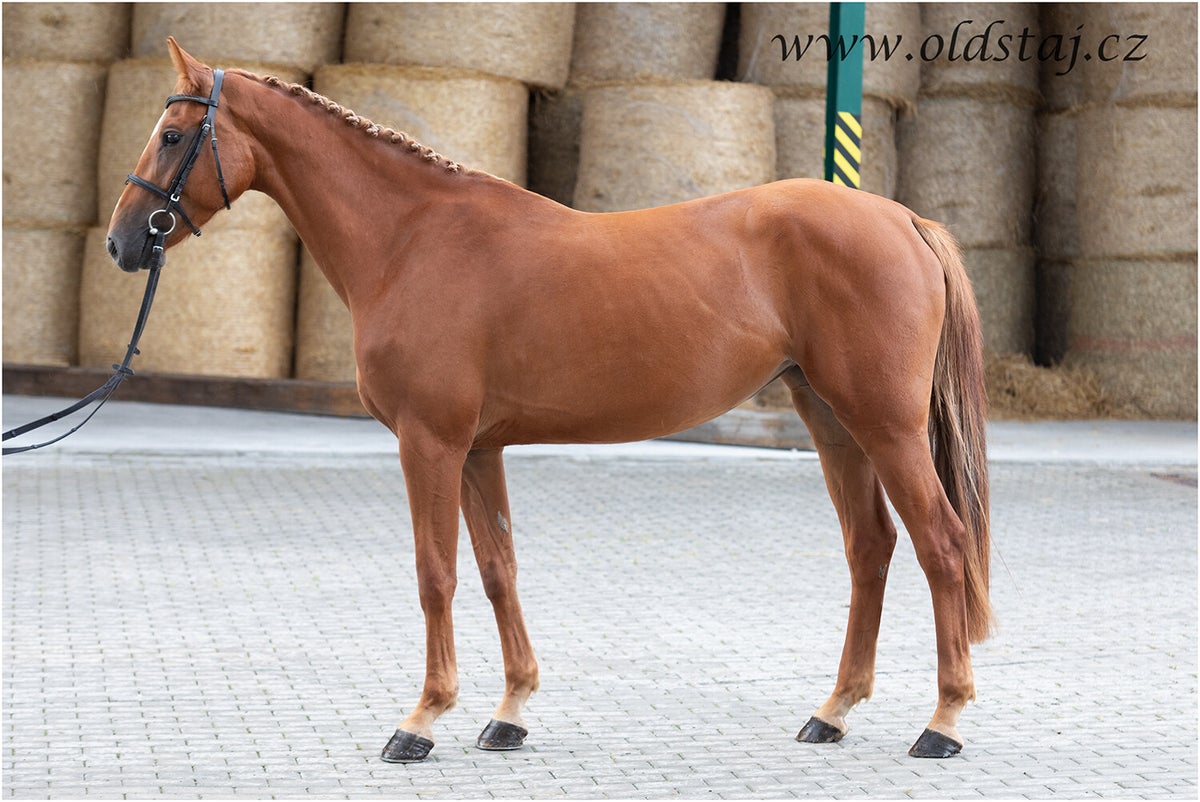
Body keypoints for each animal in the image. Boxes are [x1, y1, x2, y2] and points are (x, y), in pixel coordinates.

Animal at [105, 39, 992, 763]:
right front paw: (509, 713)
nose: (122, 242)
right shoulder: (478, 448)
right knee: (871, 549)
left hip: (886, 427)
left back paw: (943, 723)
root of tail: (904, 220)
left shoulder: (429, 443)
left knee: (942, 544)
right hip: (834, 423)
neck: (412, 239)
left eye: (175, 135)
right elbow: (498, 570)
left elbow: (436, 574)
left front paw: (421, 721)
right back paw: (832, 712)